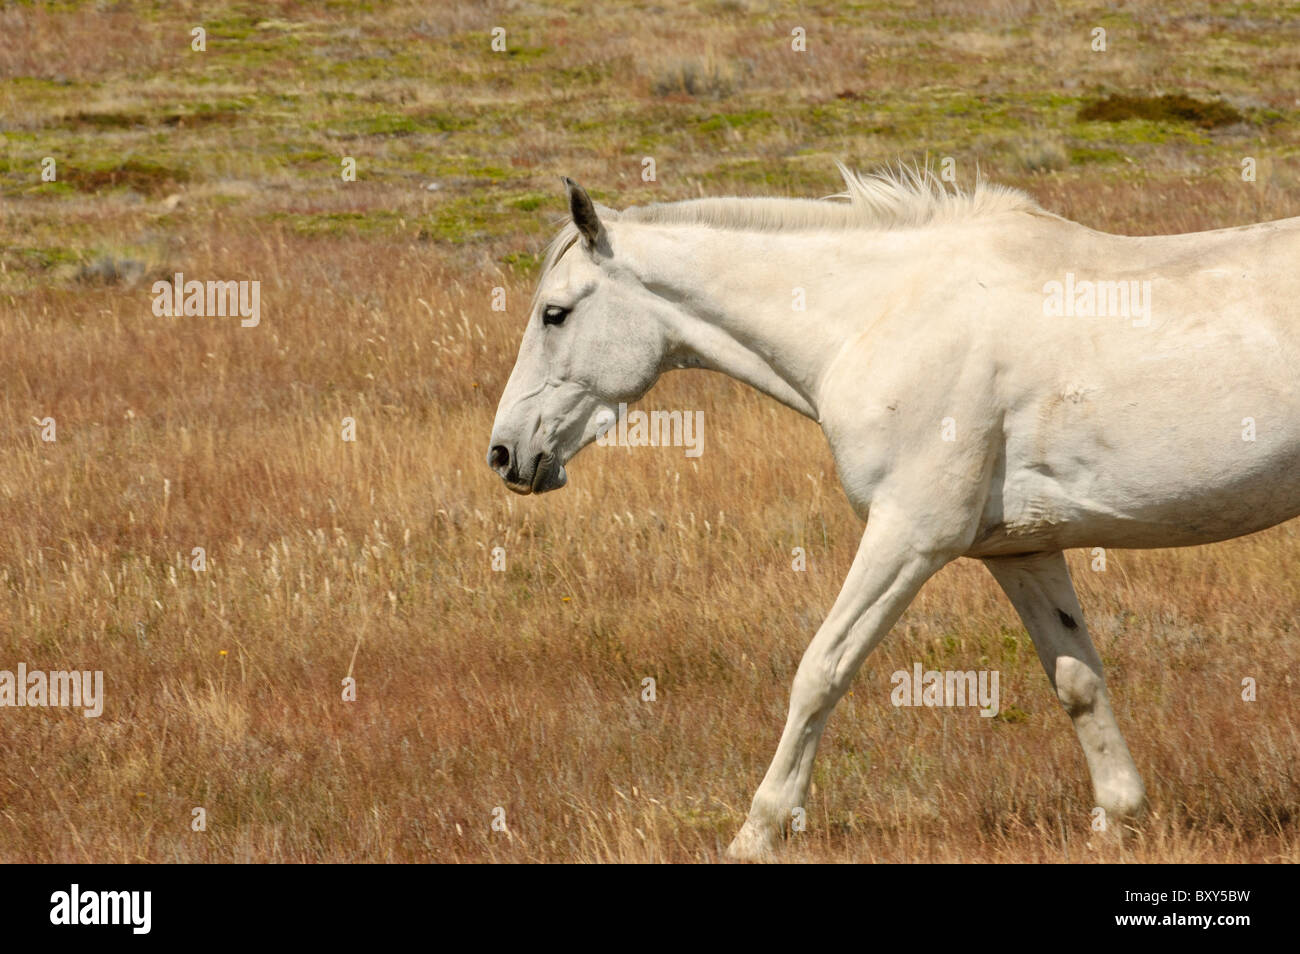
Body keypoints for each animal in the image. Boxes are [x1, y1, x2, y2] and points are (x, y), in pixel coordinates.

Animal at [487, 164, 1300, 859]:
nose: (503, 453)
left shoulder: (909, 536)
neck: (883, 314)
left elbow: (821, 670)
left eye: (555, 314)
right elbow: (1078, 680)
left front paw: (758, 831)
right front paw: (1120, 816)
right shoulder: (1022, 553)